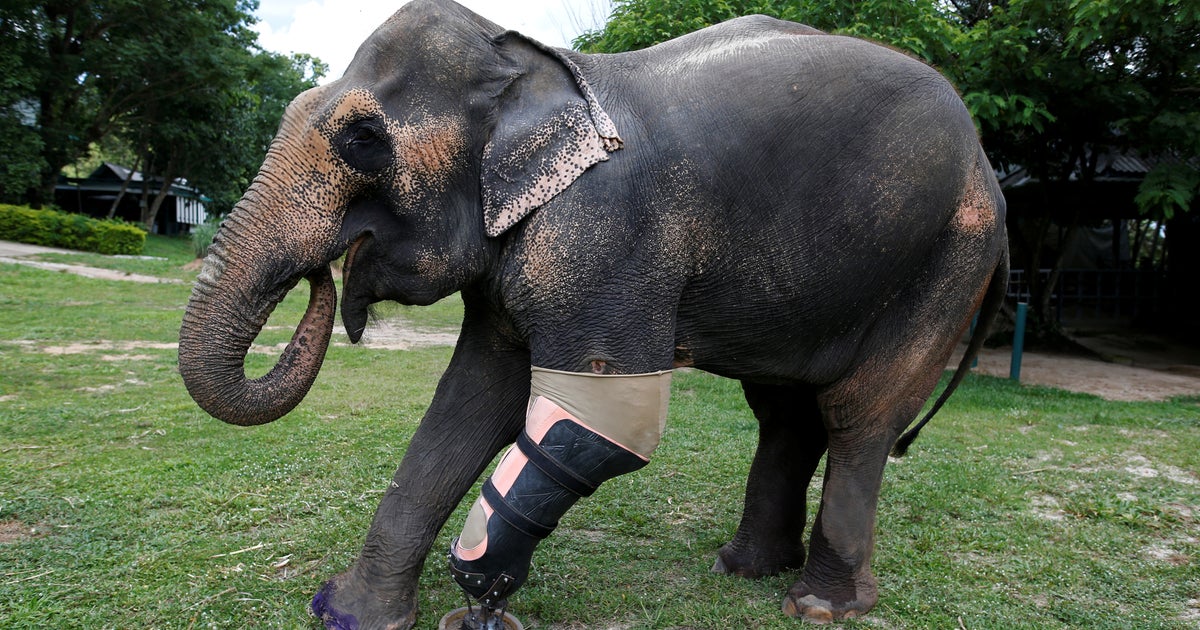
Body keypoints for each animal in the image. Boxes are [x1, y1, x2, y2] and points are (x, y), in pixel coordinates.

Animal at [177, 0, 1009, 627]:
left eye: (363, 139)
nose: (325, 277)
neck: (534, 65)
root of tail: (989, 170)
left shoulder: (607, 232)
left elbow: (607, 420)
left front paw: (482, 576)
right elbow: (472, 401)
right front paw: (350, 614)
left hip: (947, 256)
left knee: (858, 411)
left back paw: (820, 605)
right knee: (785, 410)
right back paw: (743, 570)